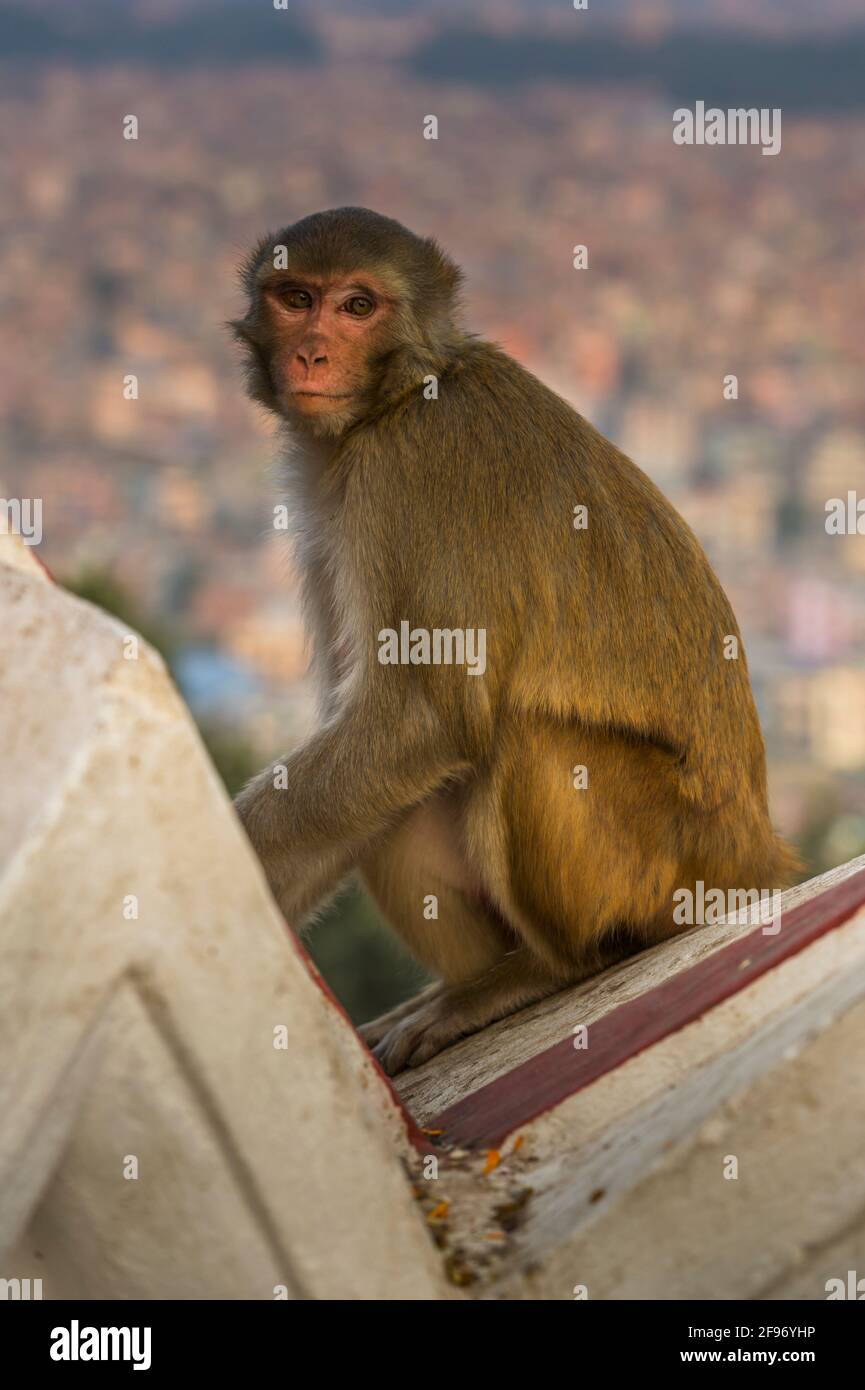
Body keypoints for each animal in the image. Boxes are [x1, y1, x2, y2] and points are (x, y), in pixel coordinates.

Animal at [230, 206, 799, 1076]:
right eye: (295, 297)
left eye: (357, 306)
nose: (311, 352)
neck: (401, 394)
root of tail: (751, 854)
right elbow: (375, 733)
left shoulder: (411, 471)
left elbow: (421, 720)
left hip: (661, 862)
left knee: (519, 739)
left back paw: (544, 971)